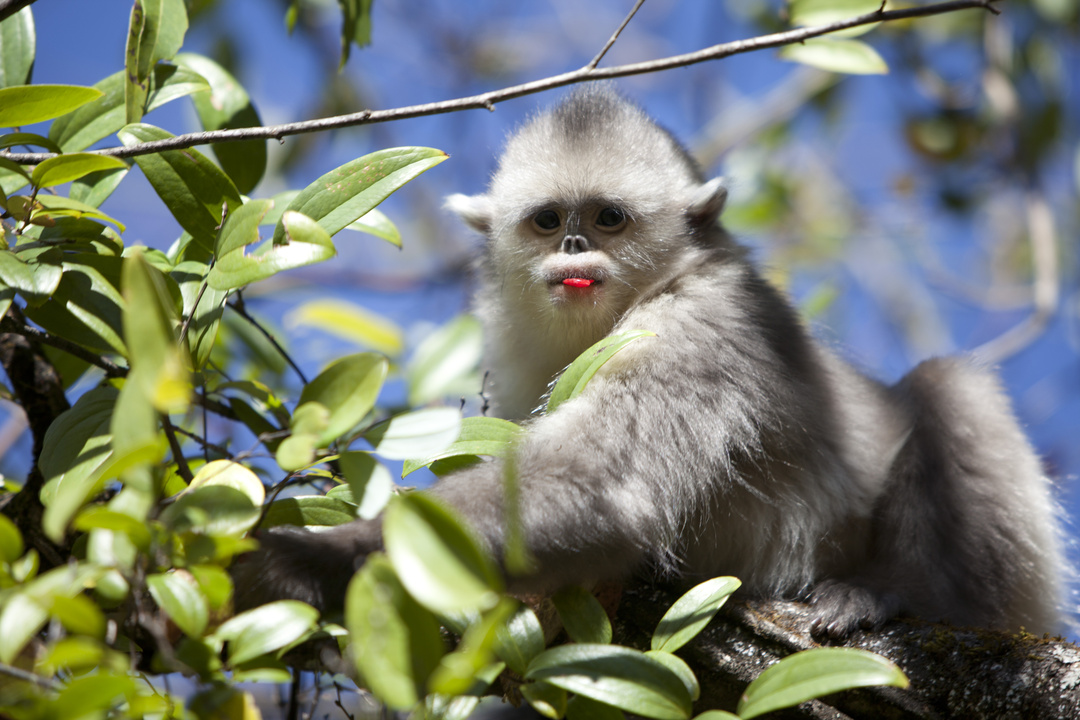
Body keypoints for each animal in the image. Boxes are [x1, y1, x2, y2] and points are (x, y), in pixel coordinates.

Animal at [239, 86, 1066, 639]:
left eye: (608, 218)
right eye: (549, 222)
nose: (576, 246)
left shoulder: (705, 326)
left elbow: (604, 485)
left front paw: (312, 559)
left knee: (947, 383)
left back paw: (892, 594)